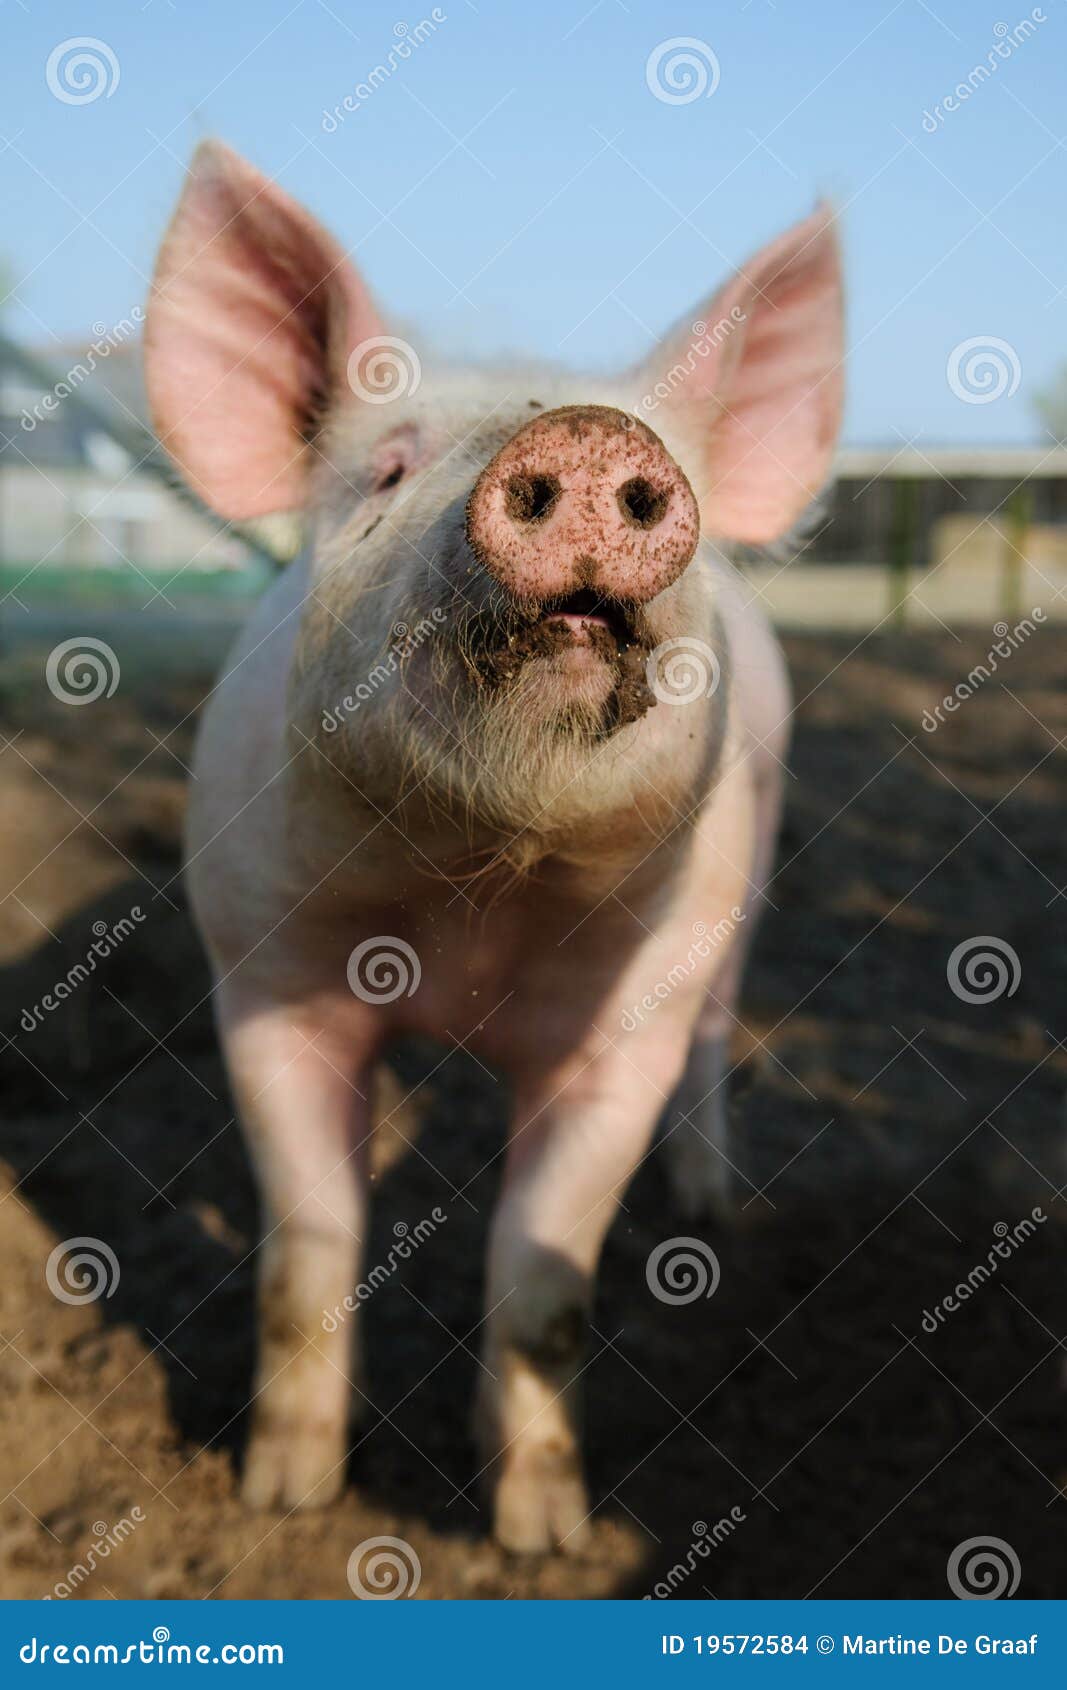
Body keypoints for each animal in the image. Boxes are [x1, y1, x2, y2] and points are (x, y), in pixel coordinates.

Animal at [144, 140, 843, 1553]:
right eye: (387, 469)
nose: (578, 433)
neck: (474, 893)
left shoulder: (623, 1026)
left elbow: (540, 1275)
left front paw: (541, 1537)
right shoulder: (261, 969)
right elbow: (307, 1247)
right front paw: (285, 1494)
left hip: (742, 892)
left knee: (714, 1036)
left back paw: (706, 1205)